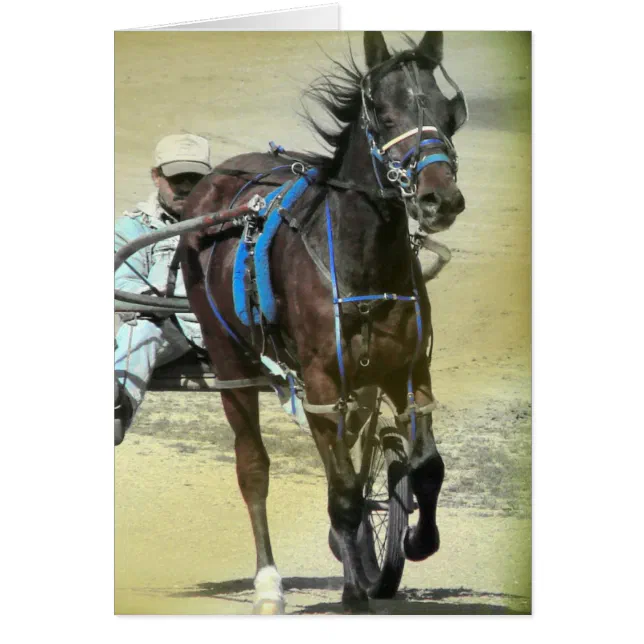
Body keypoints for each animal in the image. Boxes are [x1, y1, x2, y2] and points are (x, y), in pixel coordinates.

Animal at [180, 31, 467, 613]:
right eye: (384, 115)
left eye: (448, 114)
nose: (439, 199)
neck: (363, 263)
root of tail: (216, 180)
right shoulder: (320, 381)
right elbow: (345, 496)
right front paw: (355, 590)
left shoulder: (407, 371)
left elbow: (425, 467)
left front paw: (416, 539)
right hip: (229, 358)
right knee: (253, 467)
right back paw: (269, 582)